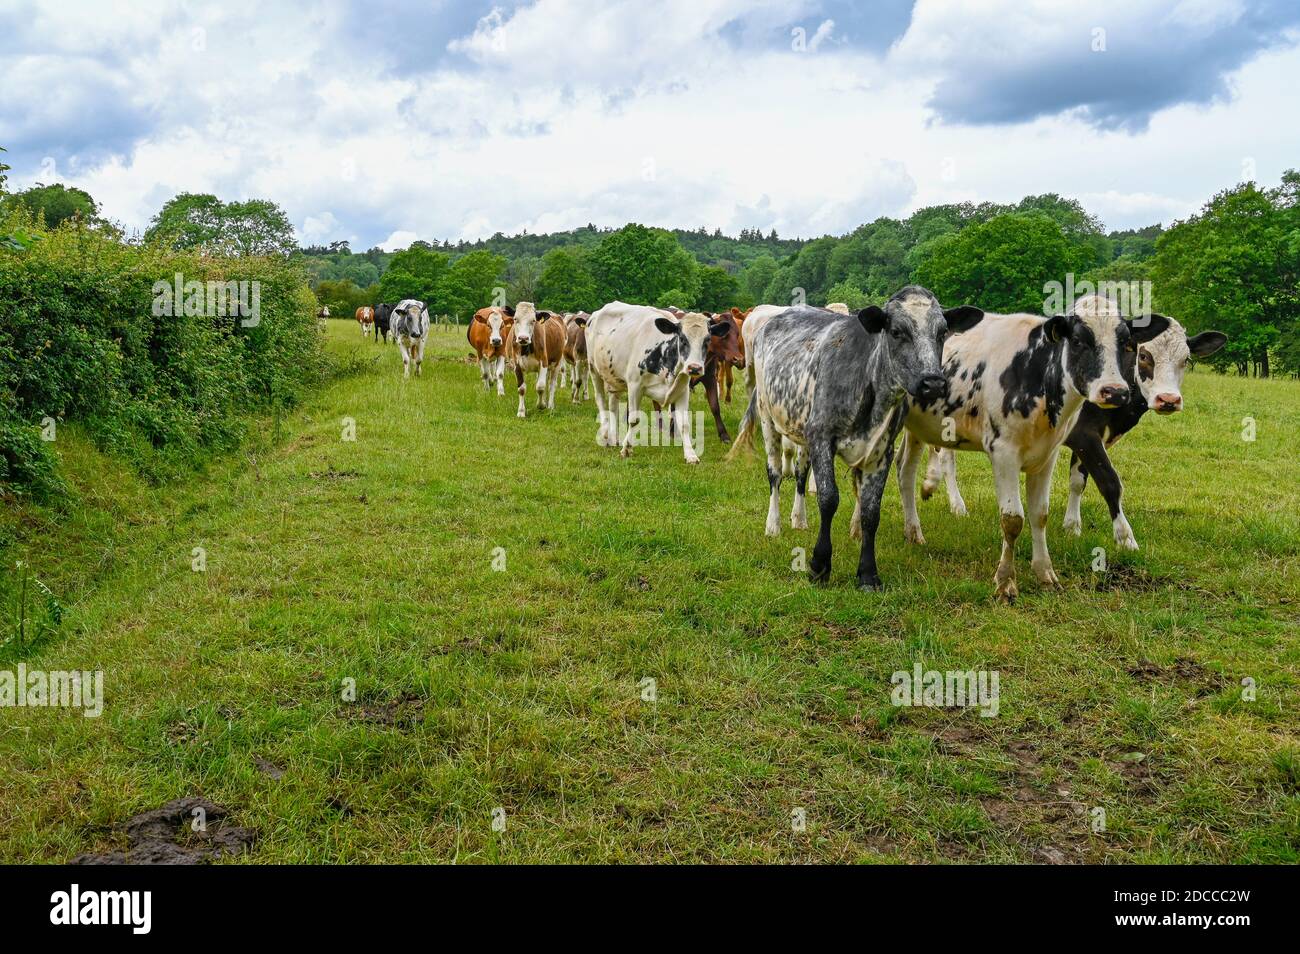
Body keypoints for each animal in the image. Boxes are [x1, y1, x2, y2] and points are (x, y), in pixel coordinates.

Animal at [586, 302, 726, 464]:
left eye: (707, 340)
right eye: (682, 339)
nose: (694, 368)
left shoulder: (682, 391)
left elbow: (684, 424)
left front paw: (691, 455)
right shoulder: (634, 386)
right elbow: (633, 419)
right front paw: (627, 449)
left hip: (614, 377)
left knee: (613, 406)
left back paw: (614, 438)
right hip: (594, 369)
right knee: (601, 401)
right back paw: (604, 435)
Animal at [727, 288, 982, 590]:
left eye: (942, 332)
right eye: (896, 331)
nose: (933, 383)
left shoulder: (881, 451)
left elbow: (871, 511)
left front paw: (868, 574)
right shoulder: (822, 437)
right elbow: (828, 499)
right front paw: (819, 565)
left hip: (802, 430)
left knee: (800, 474)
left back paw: (799, 518)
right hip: (768, 417)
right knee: (775, 474)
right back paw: (773, 525)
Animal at [894, 295, 1171, 602]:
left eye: (1126, 343)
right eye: (1077, 340)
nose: (1115, 391)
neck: (1035, 373)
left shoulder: (1047, 455)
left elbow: (1040, 515)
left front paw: (1045, 574)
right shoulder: (1003, 453)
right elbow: (1012, 519)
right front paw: (1005, 582)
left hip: (916, 428)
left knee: (904, 471)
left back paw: (913, 532)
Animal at [920, 306, 1227, 551]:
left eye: (1186, 360)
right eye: (1143, 356)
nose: (1169, 400)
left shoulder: (1085, 439)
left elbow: (1079, 481)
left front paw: (1072, 526)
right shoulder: (1085, 435)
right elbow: (1109, 482)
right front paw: (1125, 538)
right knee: (947, 460)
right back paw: (955, 503)